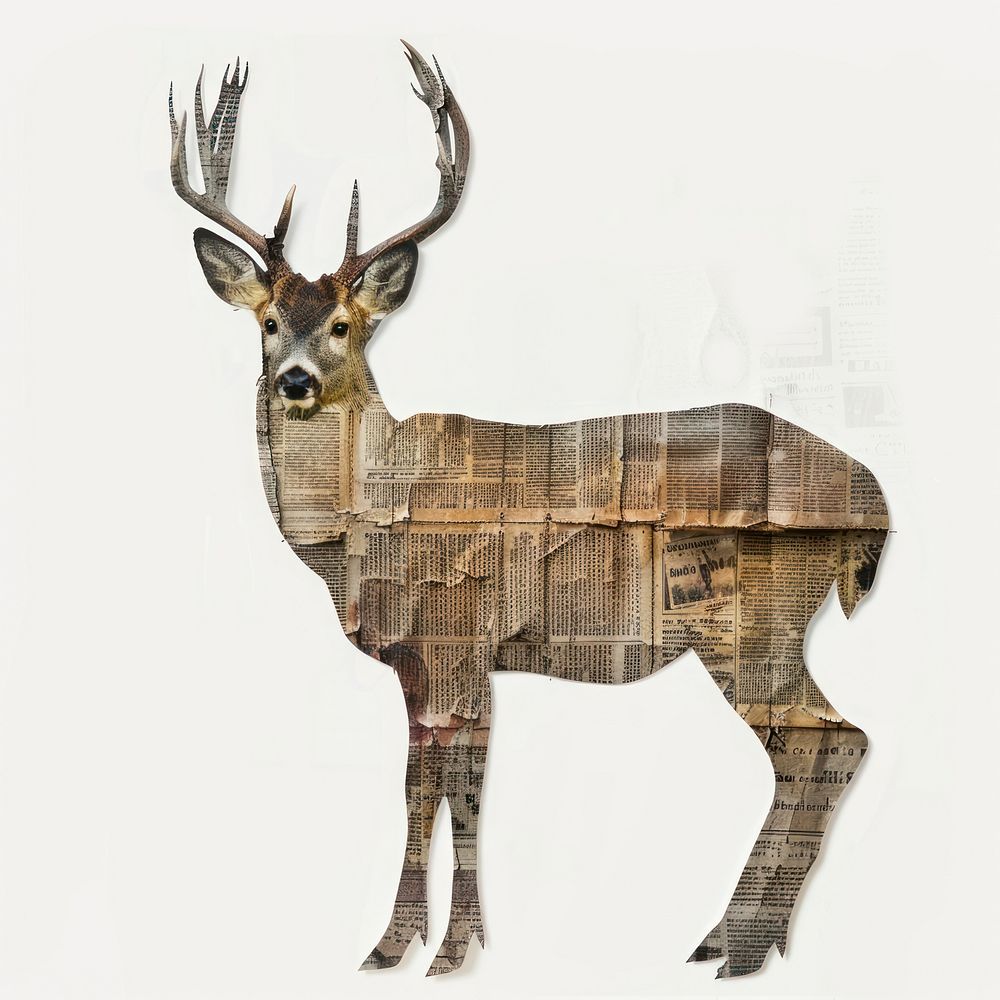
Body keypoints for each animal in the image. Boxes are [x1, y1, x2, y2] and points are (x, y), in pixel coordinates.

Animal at [168, 41, 888, 980]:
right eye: (265, 322)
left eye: (343, 325)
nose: (294, 380)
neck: (368, 520)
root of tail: (874, 497)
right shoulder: (414, 664)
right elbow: (417, 788)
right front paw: (390, 945)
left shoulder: (464, 637)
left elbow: (466, 791)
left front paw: (452, 952)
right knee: (824, 742)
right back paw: (732, 939)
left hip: (752, 616)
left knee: (827, 740)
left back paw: (739, 944)